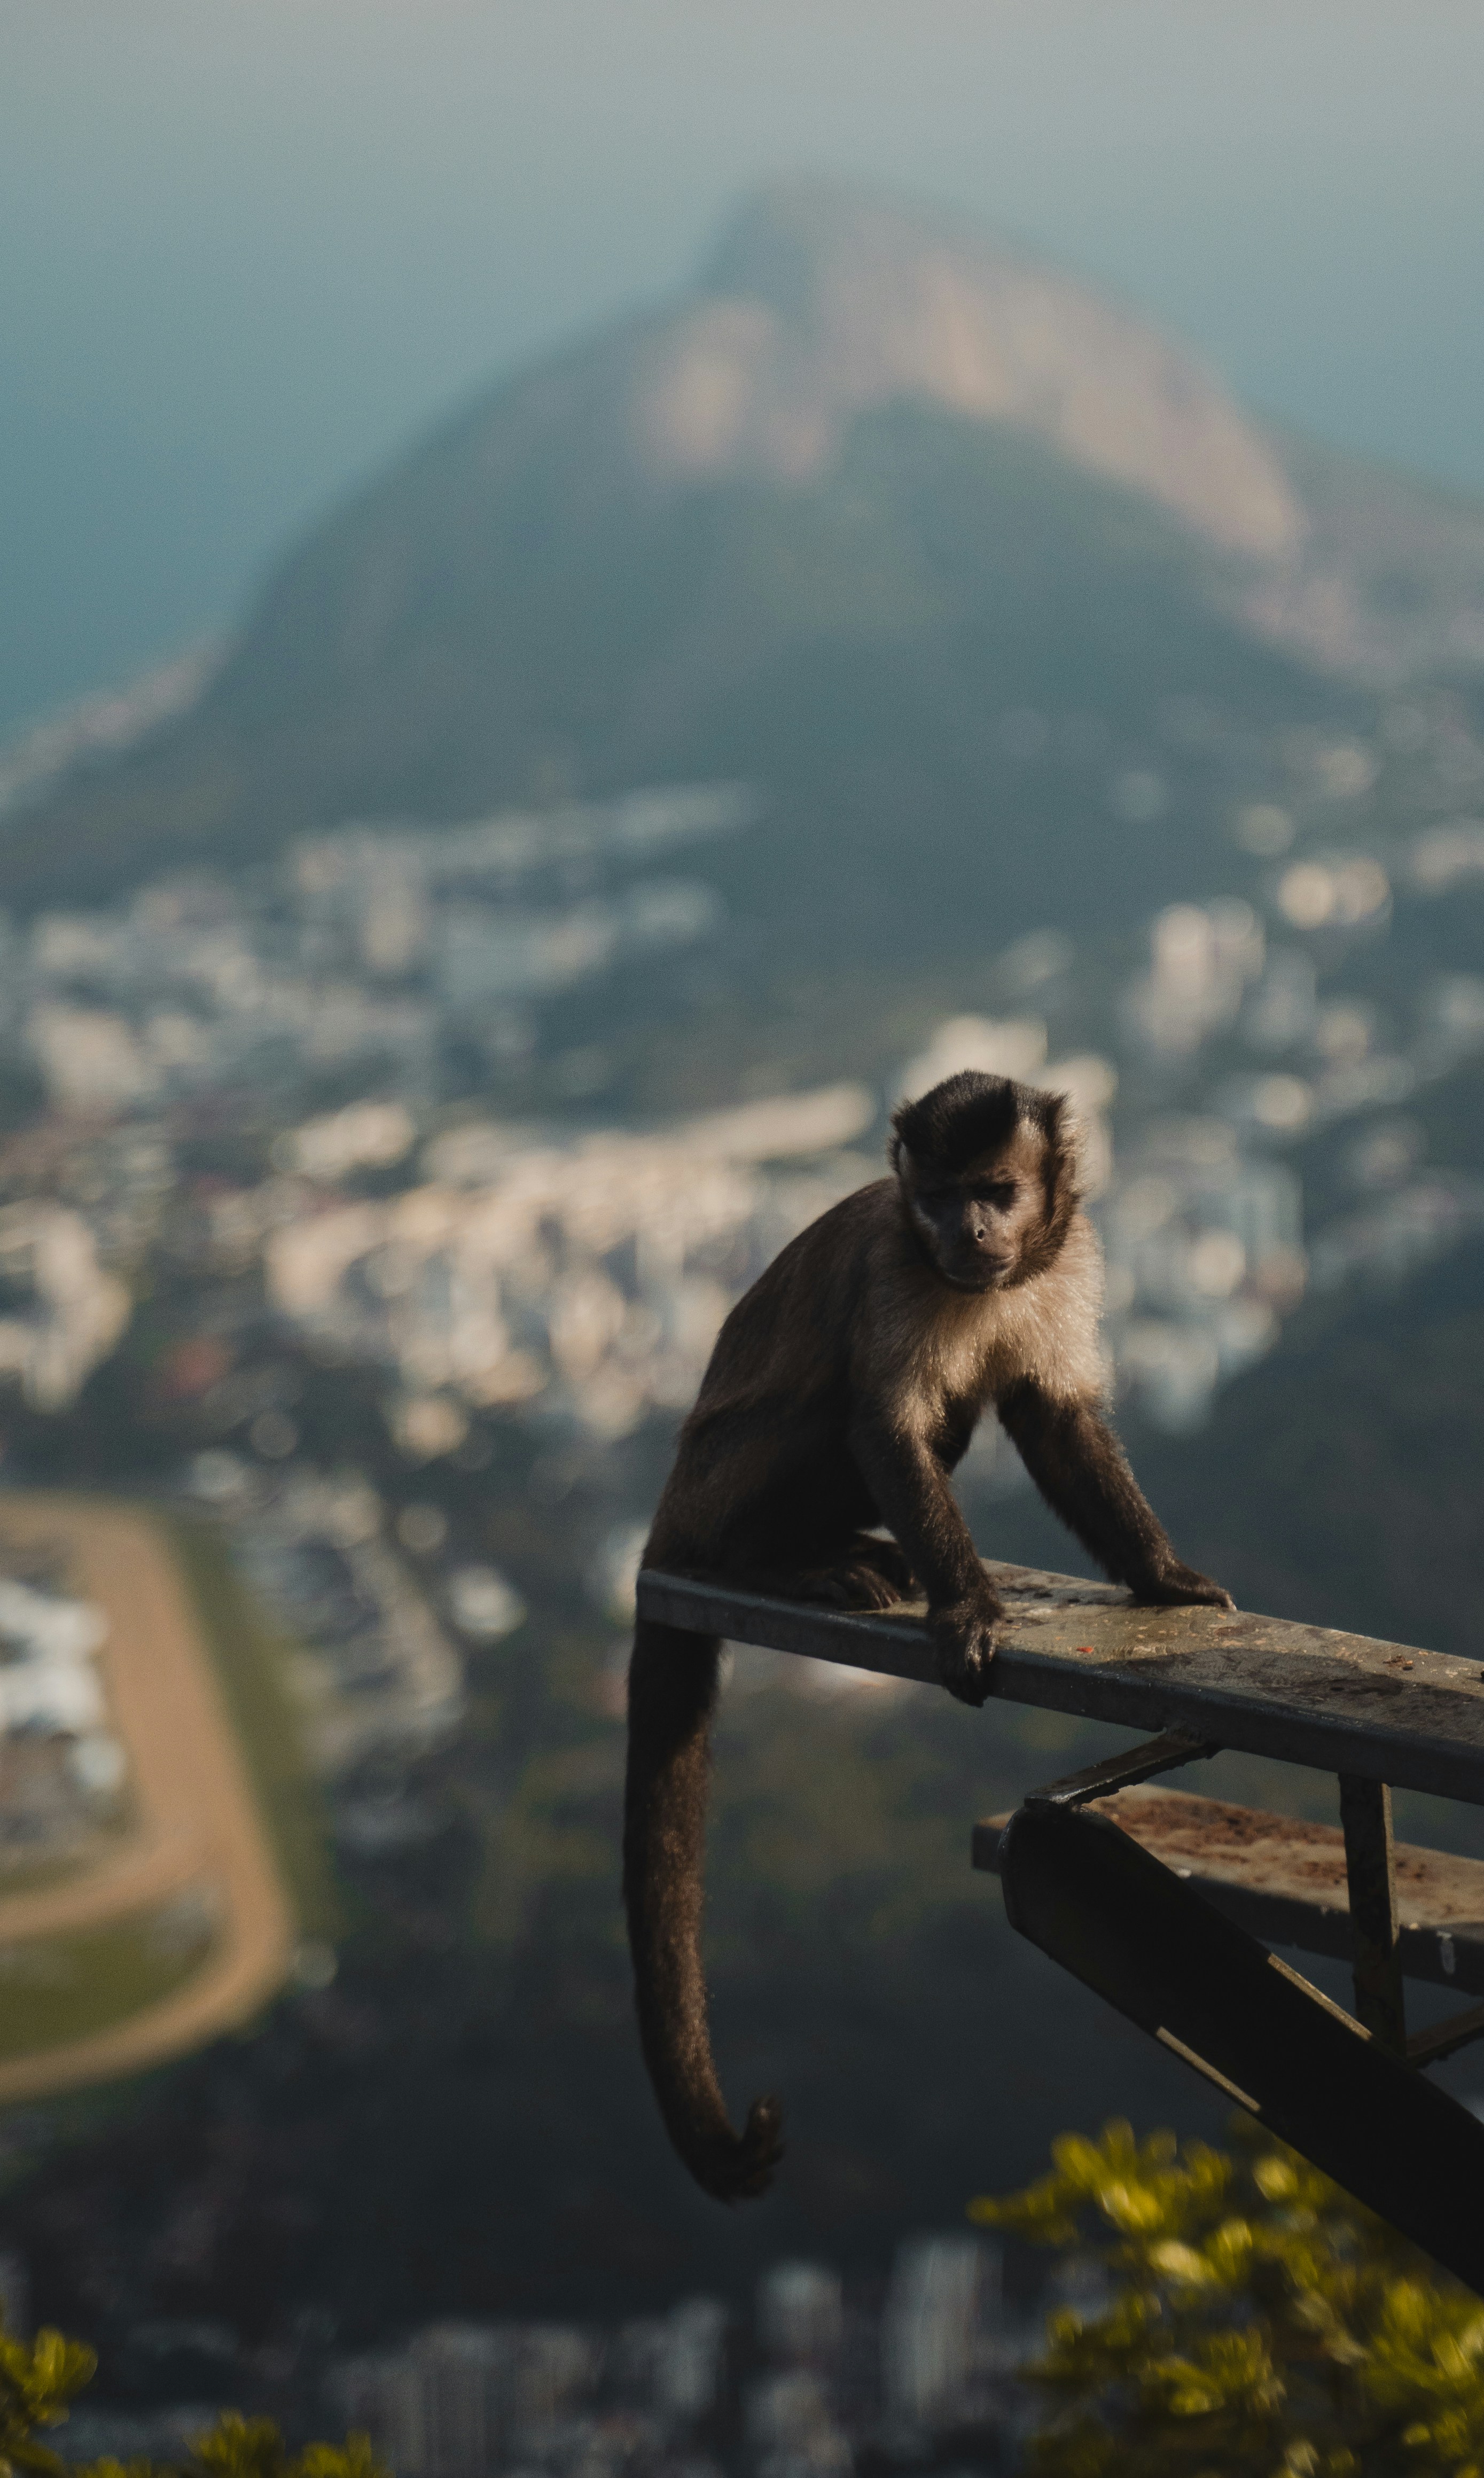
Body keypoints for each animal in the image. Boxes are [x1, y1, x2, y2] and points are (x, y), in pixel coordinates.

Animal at [623, 1068, 1231, 2204]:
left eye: (996, 1188)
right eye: (941, 1196)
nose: (969, 1229)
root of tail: (668, 1517)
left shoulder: (1064, 1259)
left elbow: (1051, 1416)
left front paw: (1162, 1574)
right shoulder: (893, 1271)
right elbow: (887, 1427)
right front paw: (970, 1612)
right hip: (718, 1486)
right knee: (838, 1405)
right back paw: (783, 1563)